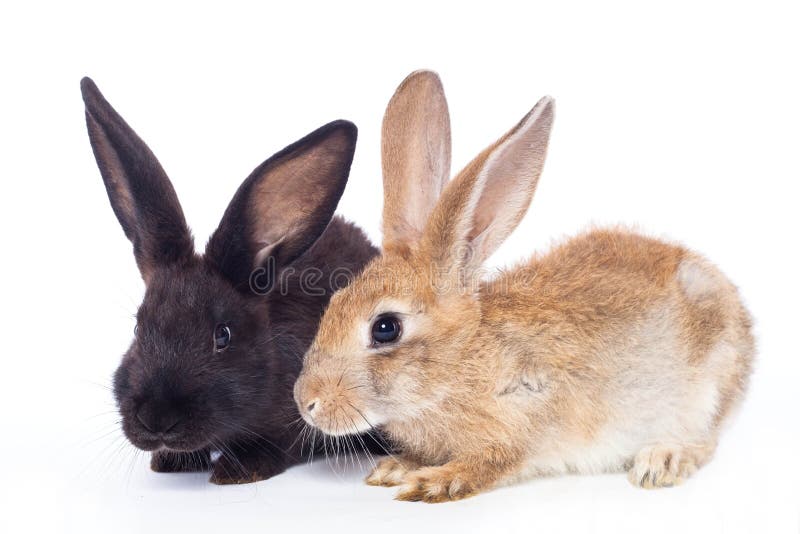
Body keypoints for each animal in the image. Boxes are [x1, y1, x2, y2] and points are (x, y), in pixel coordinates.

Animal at [293, 70, 755, 502]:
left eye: (386, 328)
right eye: (334, 302)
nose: (306, 402)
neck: (461, 361)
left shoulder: (524, 417)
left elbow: (491, 462)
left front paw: (431, 481)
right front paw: (396, 467)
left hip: (708, 388)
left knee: (705, 440)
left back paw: (661, 461)